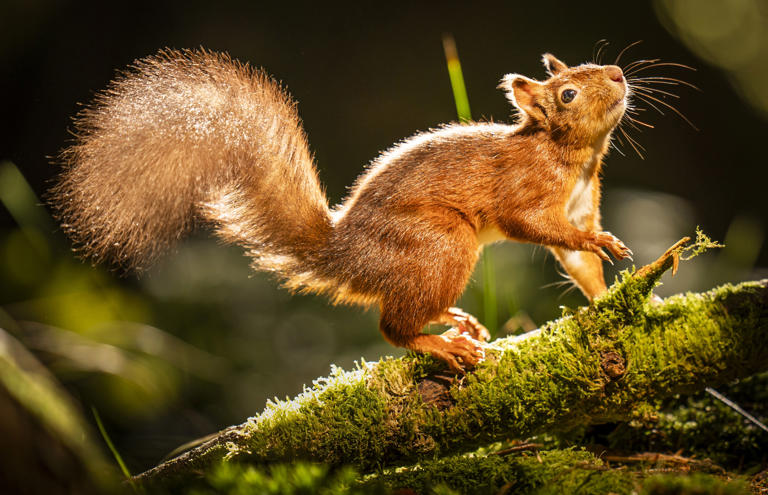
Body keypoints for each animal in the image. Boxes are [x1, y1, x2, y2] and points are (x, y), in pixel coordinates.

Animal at [50, 48, 633, 373]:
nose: (619, 74)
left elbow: (580, 264)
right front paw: (601, 246)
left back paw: (455, 320)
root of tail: (346, 255)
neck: (572, 156)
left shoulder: (581, 205)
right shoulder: (523, 192)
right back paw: (439, 343)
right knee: (392, 327)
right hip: (443, 244)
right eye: (567, 94)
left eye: (592, 65)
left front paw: (607, 295)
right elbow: (530, 225)